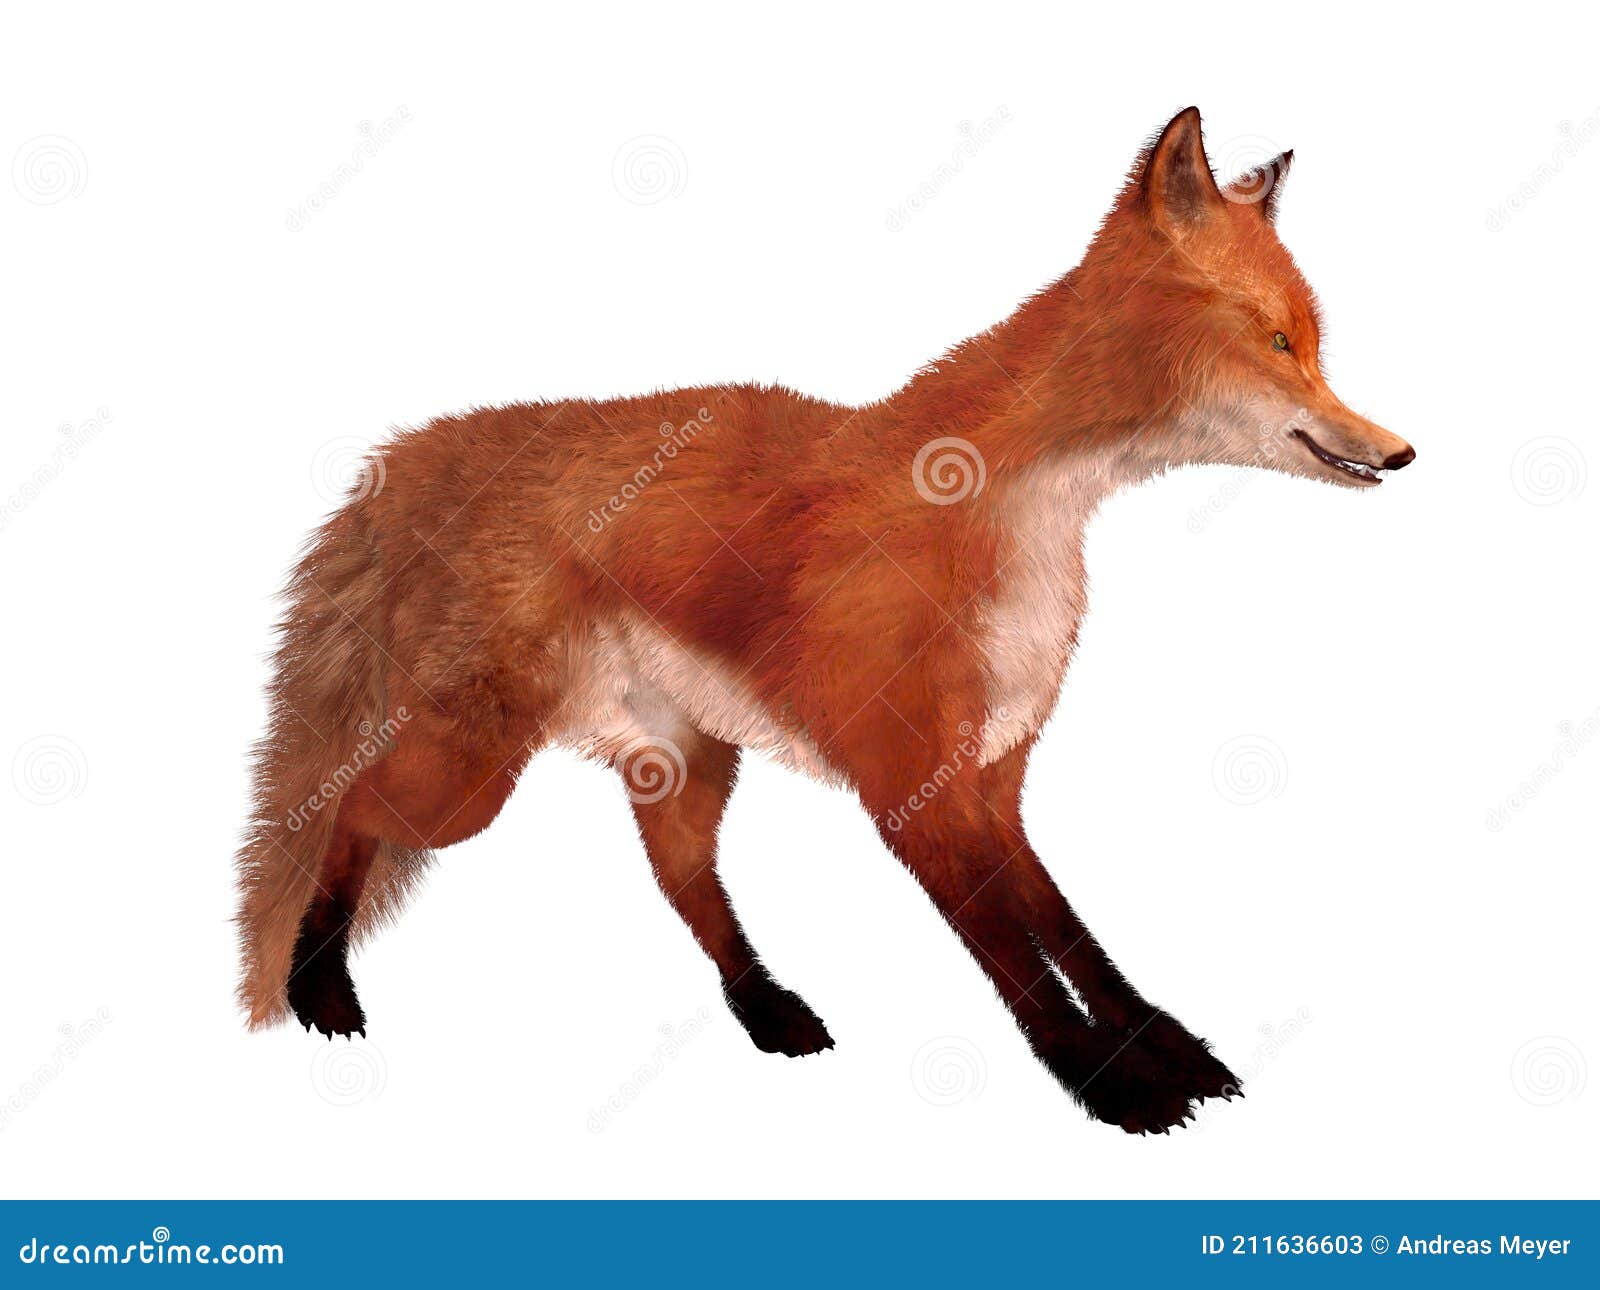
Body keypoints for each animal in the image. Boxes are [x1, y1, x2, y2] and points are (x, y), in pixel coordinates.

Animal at [237, 107, 1414, 1133]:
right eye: (1279, 342)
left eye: (1314, 346)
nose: (1399, 452)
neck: (1015, 519)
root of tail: (410, 454)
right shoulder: (911, 787)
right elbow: (1016, 960)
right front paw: (1107, 1085)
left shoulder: (992, 779)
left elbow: (1072, 936)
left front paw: (1161, 1050)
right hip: (467, 777)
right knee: (346, 808)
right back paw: (318, 987)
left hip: (681, 761)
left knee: (681, 882)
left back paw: (766, 1009)